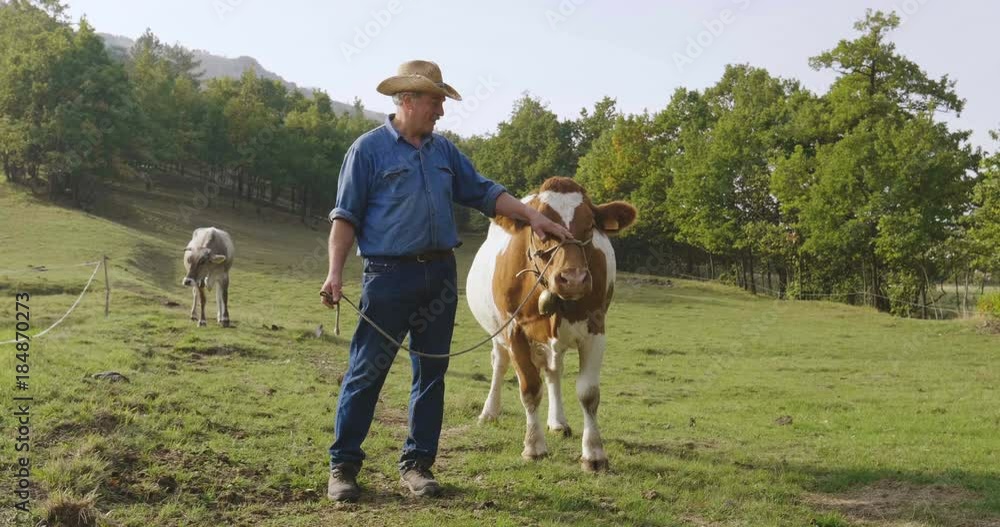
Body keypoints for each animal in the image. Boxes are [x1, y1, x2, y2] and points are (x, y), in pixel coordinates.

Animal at [466, 177, 637, 472]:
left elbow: (588, 393)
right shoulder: (514, 331)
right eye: (541, 229)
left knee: (553, 371)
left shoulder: (596, 328)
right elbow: (529, 388)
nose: (574, 278)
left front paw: (594, 454)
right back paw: (489, 412)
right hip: (498, 332)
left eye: (589, 225)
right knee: (500, 363)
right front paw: (534, 446)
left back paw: (558, 422)